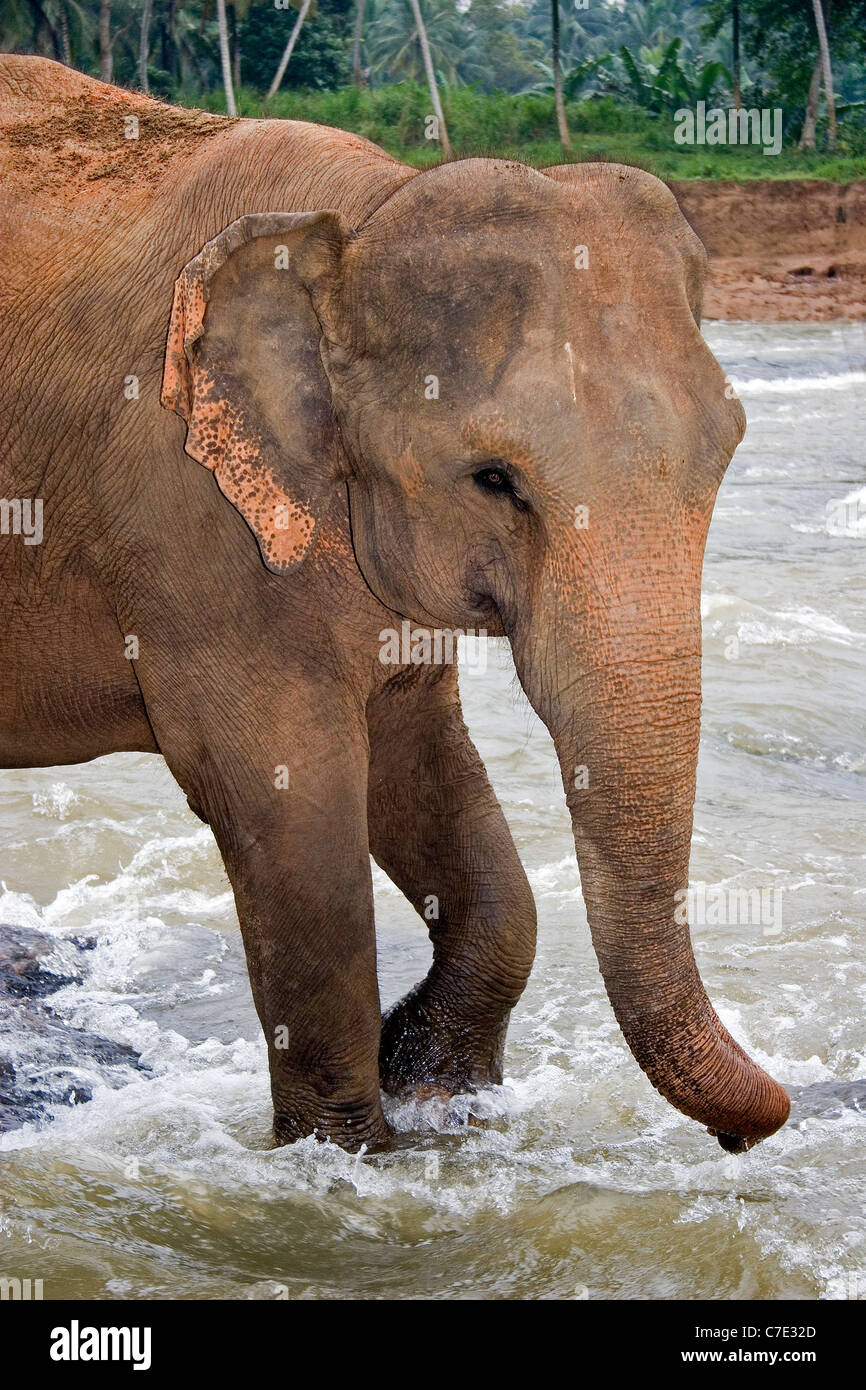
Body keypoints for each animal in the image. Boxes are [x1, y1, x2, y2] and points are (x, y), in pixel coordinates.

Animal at [0, 54, 789, 1153]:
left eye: (726, 451)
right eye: (495, 479)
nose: (752, 1129)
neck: (355, 220)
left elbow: (427, 769)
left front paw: (434, 1086)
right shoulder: (184, 518)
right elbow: (290, 813)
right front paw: (348, 1157)